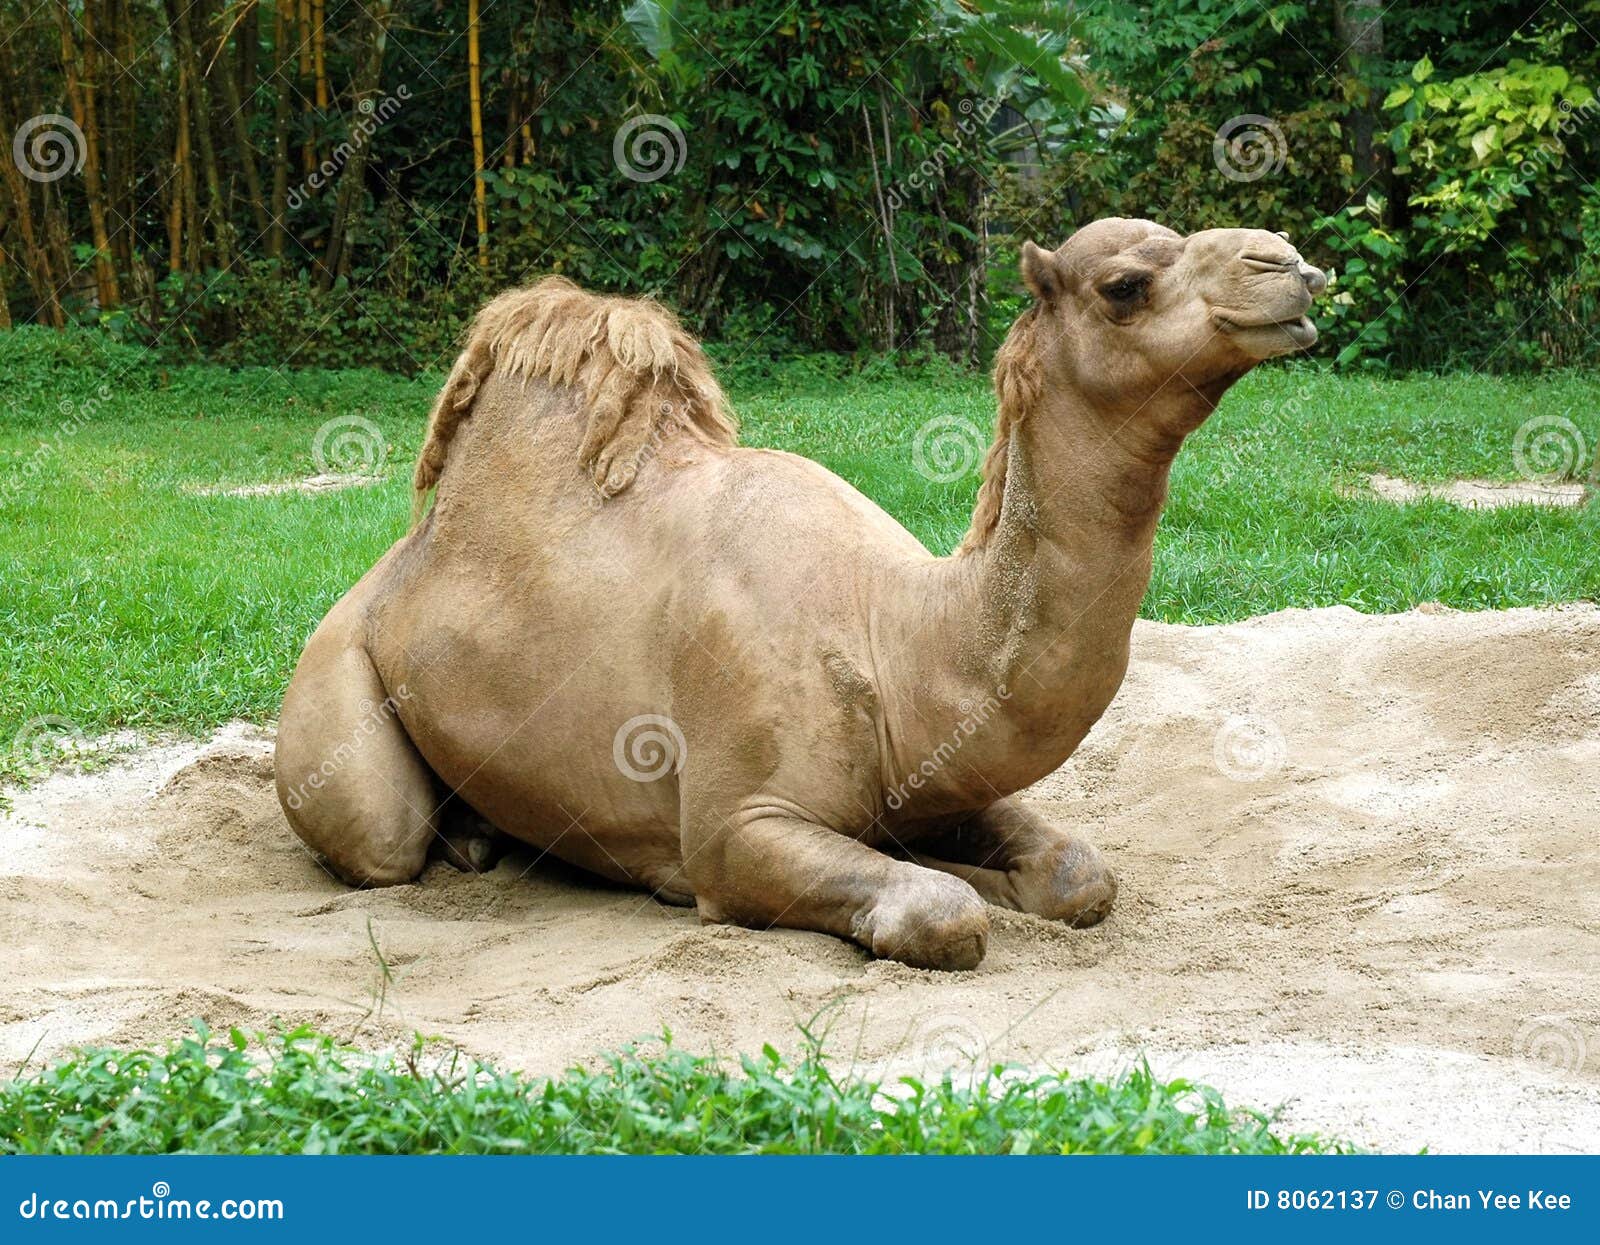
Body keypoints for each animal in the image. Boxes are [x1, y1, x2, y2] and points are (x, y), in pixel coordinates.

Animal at [275, 217, 1326, 971]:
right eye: (1124, 285)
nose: (1289, 264)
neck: (894, 633)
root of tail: (390, 568)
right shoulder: (737, 826)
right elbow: (941, 907)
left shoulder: (936, 773)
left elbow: (1078, 874)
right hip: (339, 694)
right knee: (381, 837)